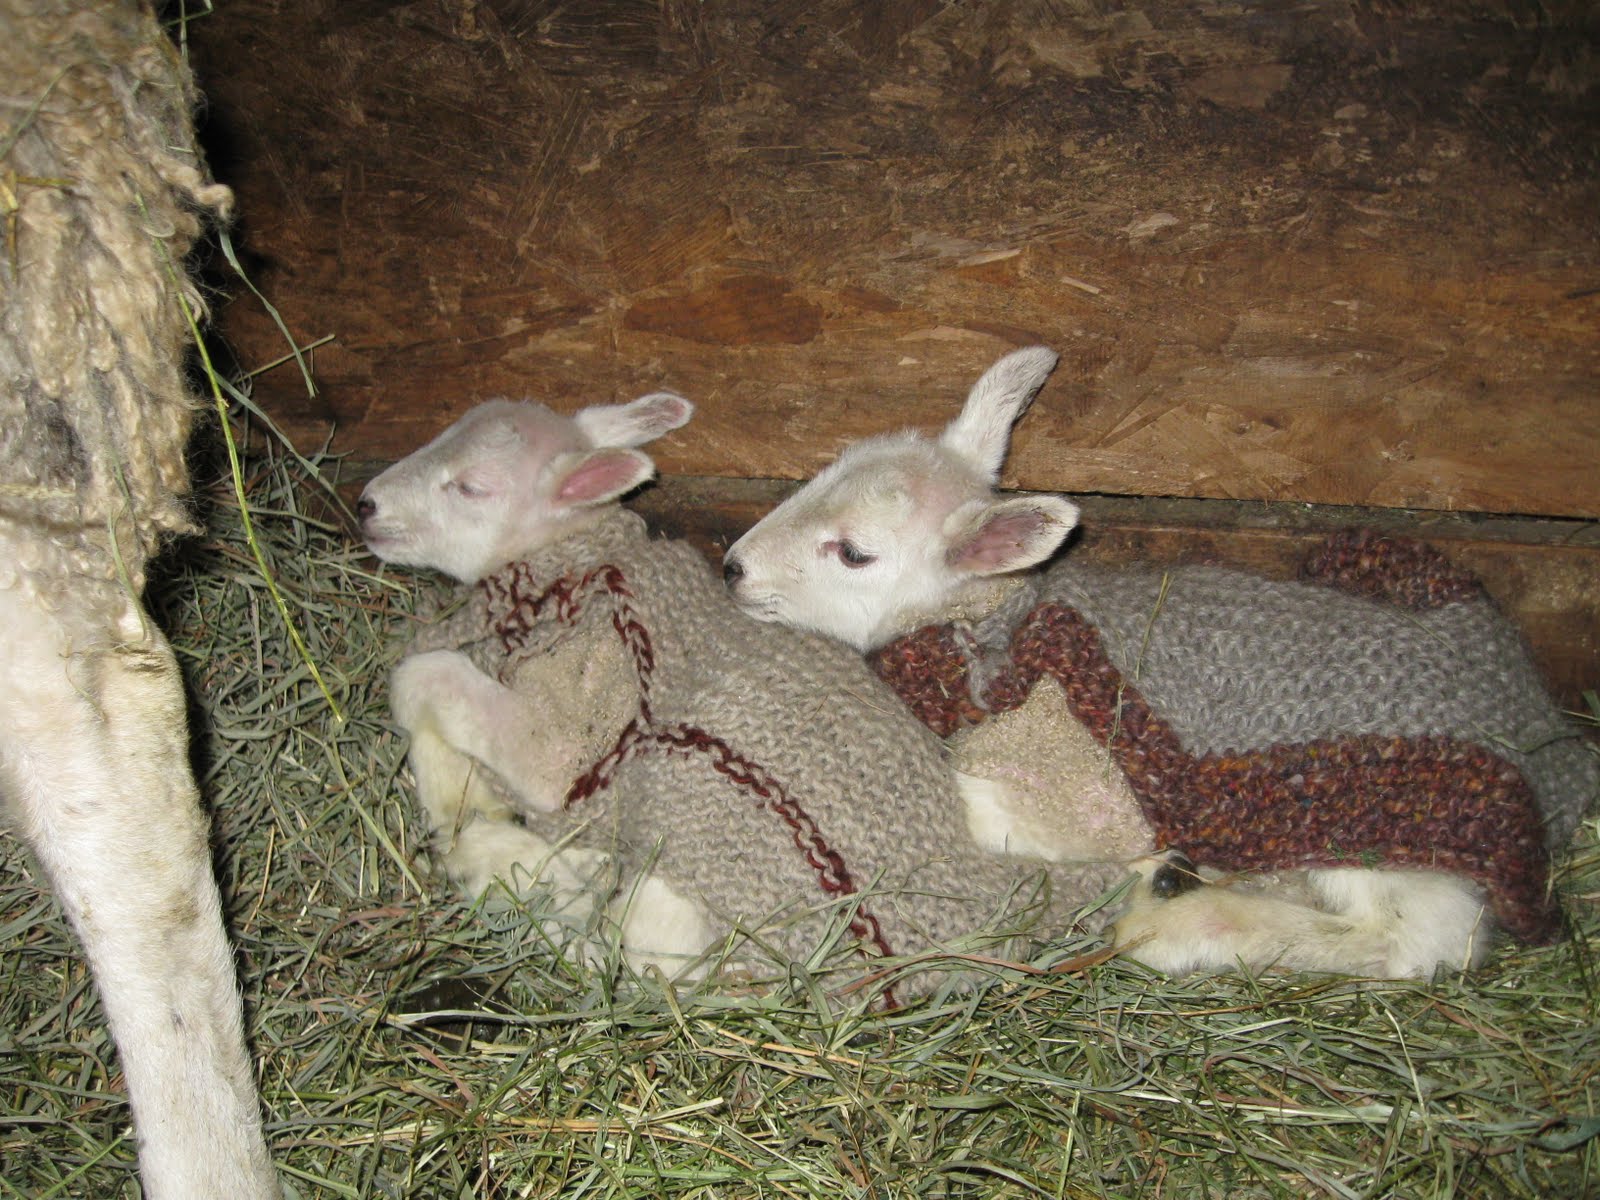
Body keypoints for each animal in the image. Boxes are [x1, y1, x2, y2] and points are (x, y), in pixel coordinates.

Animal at [359, 395, 1129, 998]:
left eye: (470, 488)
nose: (365, 504)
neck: (572, 557)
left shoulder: (568, 732)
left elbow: (420, 677)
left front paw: (459, 804)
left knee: (633, 958)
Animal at [723, 346, 1597, 979]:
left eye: (854, 553)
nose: (732, 566)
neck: (995, 623)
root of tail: (1547, 745)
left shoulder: (1066, 793)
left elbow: (991, 815)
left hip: (1374, 826)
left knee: (1422, 941)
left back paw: (1183, 921)